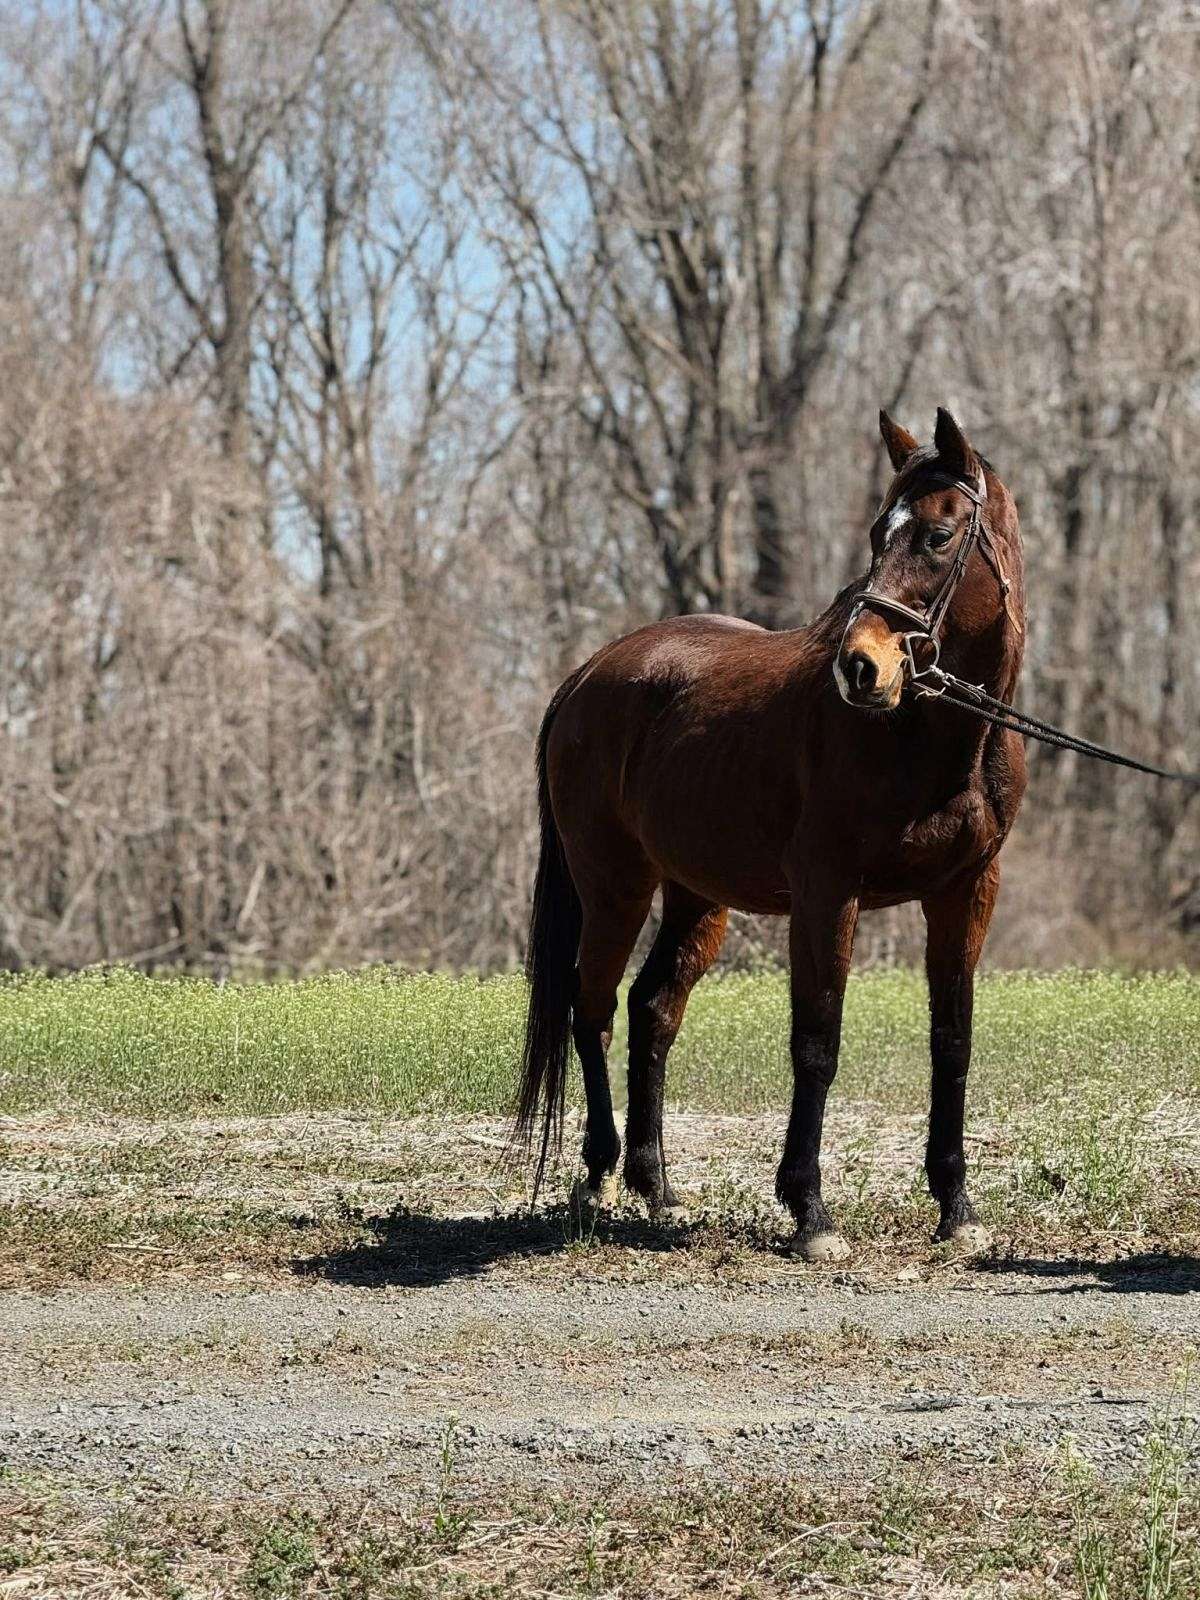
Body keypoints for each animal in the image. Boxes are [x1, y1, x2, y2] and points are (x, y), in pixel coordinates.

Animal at [515, 408, 1026, 1260]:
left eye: (937, 536)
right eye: (878, 533)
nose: (861, 667)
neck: (931, 738)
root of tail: (588, 675)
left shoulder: (966, 892)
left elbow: (952, 1043)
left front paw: (958, 1210)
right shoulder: (827, 896)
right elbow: (816, 1043)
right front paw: (810, 1212)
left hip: (696, 897)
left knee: (653, 1009)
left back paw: (657, 1186)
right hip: (614, 889)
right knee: (595, 1008)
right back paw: (599, 1174)